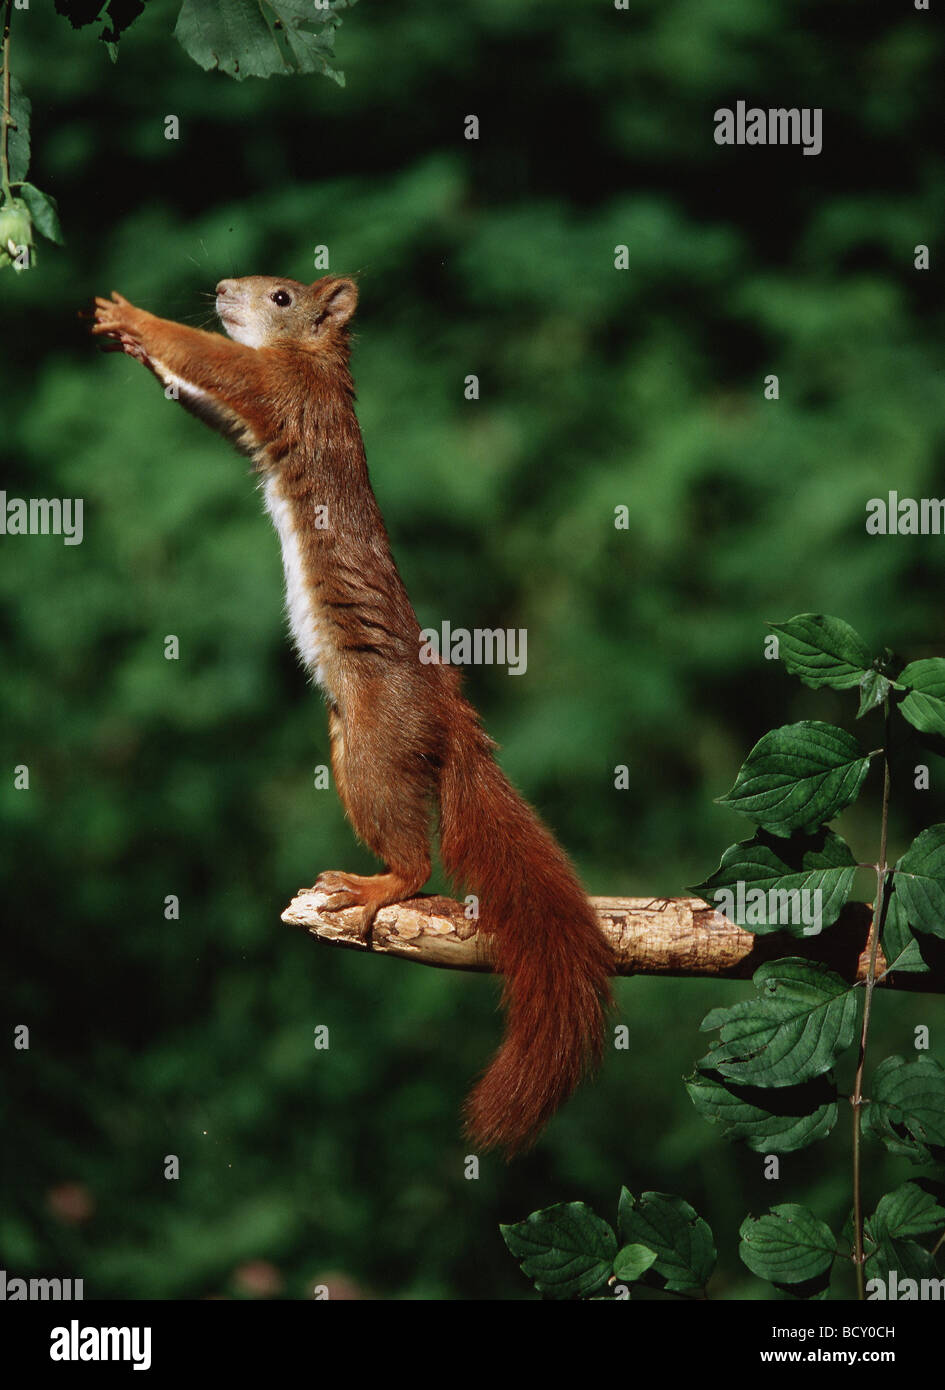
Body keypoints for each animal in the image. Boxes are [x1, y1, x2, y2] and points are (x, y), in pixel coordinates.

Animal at [92, 275, 614, 1157]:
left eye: (280, 294)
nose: (223, 288)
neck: (317, 362)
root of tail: (448, 718)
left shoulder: (281, 390)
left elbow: (218, 363)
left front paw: (134, 320)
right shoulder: (257, 419)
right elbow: (207, 402)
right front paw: (135, 351)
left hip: (373, 750)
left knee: (417, 864)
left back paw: (375, 886)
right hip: (343, 744)